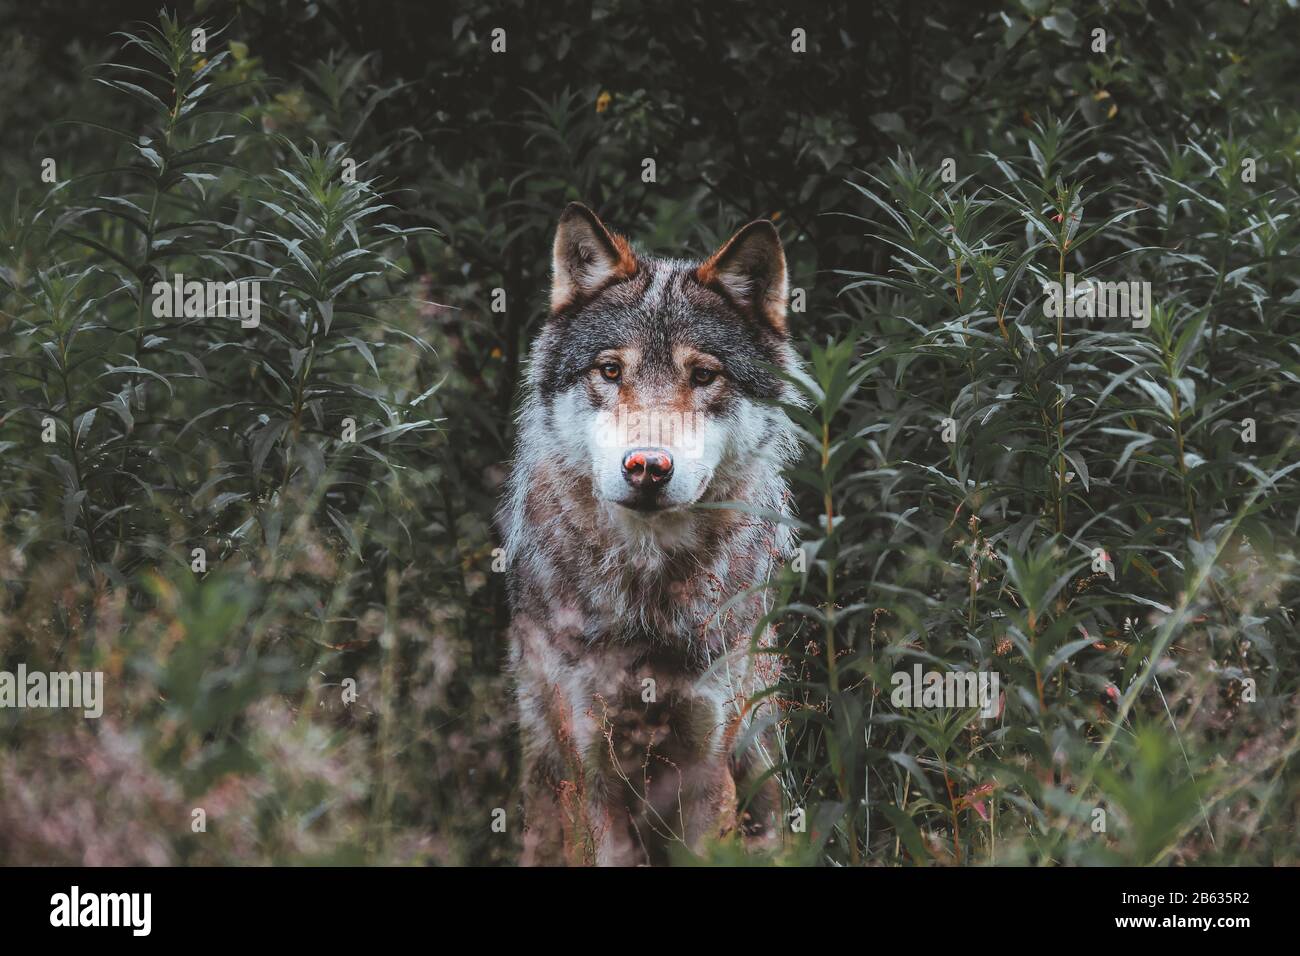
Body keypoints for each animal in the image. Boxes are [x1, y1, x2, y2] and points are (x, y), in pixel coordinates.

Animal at [498, 203, 800, 866]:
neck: (647, 592)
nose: (647, 467)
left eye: (704, 375)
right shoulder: (589, 770)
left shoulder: (706, 766)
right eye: (611, 370)